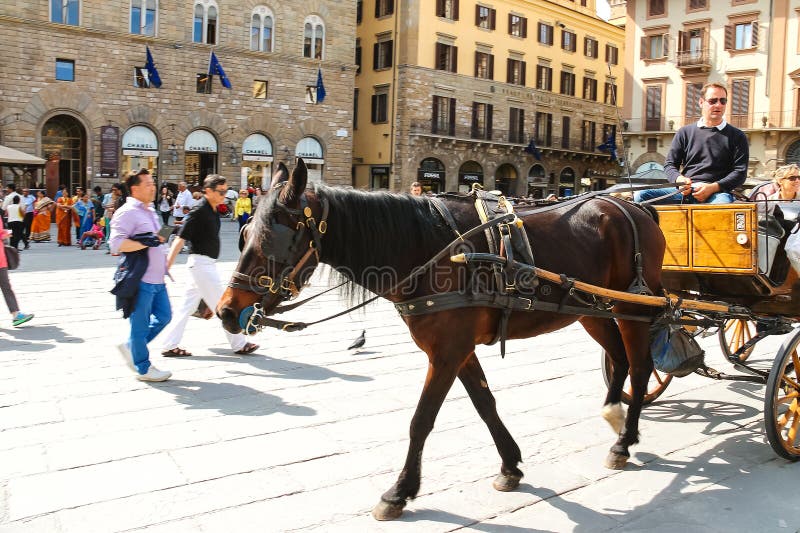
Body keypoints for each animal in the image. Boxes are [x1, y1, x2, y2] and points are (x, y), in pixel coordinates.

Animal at [217, 159, 666, 521]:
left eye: (271, 238)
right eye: (243, 235)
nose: (224, 309)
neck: (430, 249)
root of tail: (635, 206)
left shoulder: (447, 352)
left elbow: (422, 420)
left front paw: (399, 492)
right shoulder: (458, 351)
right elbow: (485, 404)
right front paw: (510, 466)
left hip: (636, 307)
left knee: (641, 366)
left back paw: (624, 442)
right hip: (593, 310)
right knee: (619, 361)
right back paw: (613, 415)